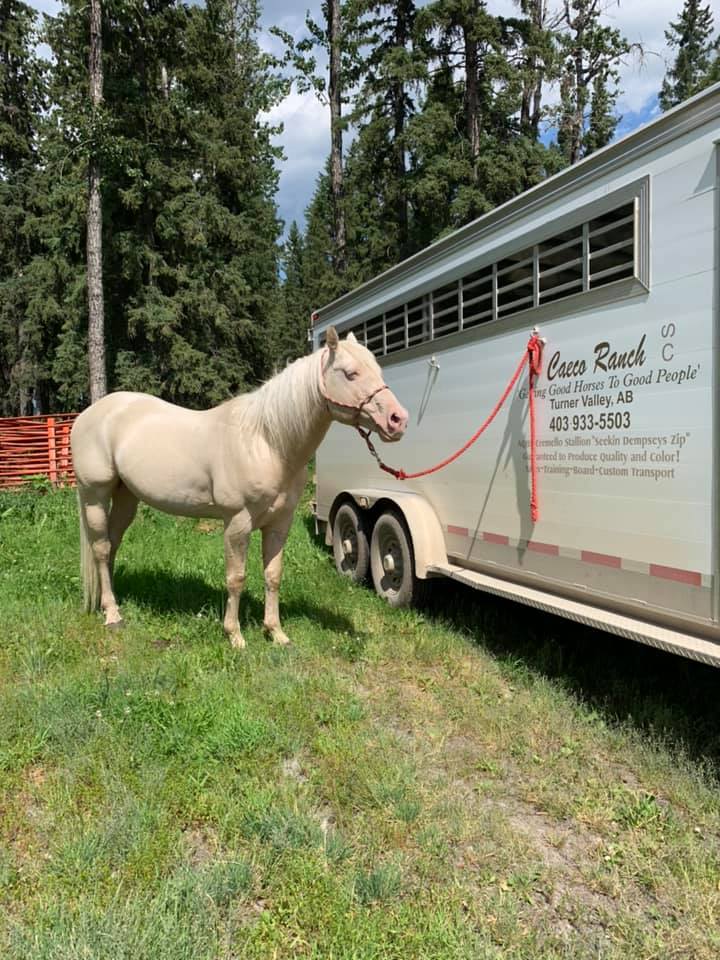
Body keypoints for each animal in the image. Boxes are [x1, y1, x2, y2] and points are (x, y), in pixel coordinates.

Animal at [70, 327, 408, 648]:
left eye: (377, 369)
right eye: (351, 373)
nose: (398, 420)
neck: (266, 442)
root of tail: (87, 415)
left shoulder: (279, 523)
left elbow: (273, 575)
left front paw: (276, 633)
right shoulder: (237, 522)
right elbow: (236, 577)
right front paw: (235, 636)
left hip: (126, 497)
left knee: (111, 545)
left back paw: (110, 602)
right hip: (94, 495)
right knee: (101, 548)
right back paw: (112, 614)